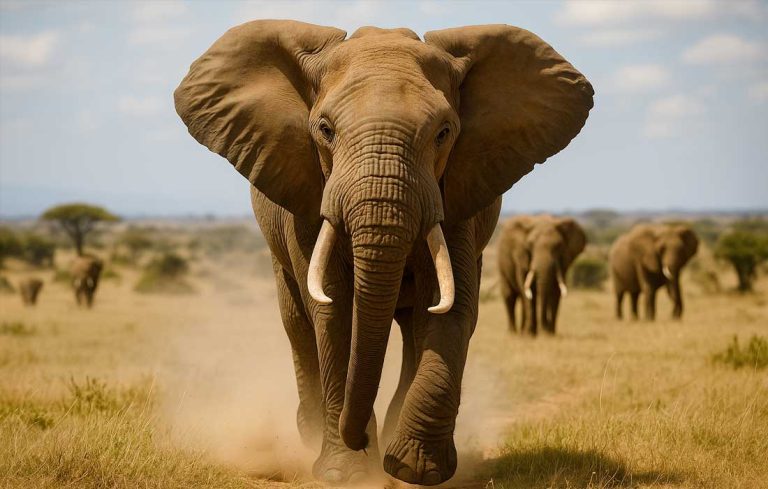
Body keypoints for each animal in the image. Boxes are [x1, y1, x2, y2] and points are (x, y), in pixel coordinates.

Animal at [175, 21, 593, 485]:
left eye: (444, 133)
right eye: (324, 130)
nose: (358, 437)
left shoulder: (457, 195)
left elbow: (449, 308)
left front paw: (411, 469)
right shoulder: (307, 193)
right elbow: (332, 309)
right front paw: (345, 473)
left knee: (414, 325)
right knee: (297, 321)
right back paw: (311, 434)